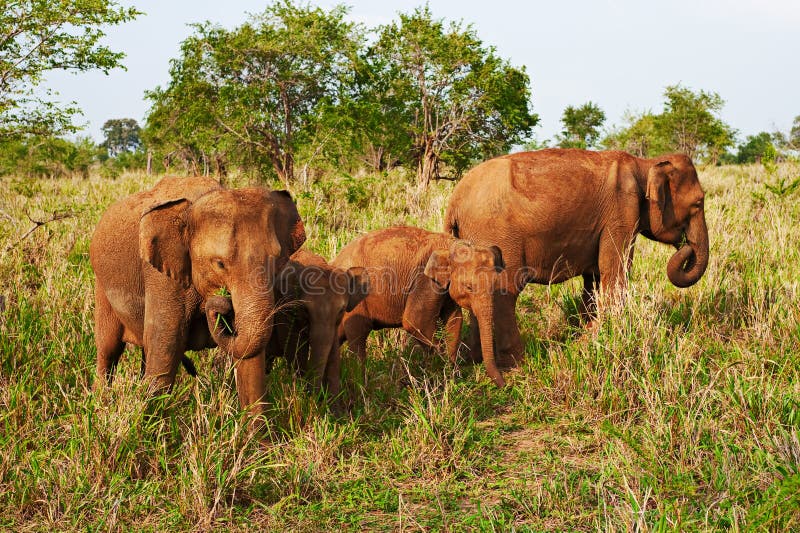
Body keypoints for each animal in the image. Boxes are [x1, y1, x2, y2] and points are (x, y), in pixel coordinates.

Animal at [90, 175, 306, 417]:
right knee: (108, 350)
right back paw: (99, 403)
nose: (222, 303)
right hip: (101, 285)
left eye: (277, 260)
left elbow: (250, 359)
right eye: (219, 264)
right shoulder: (163, 278)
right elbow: (166, 351)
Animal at [266, 249, 370, 399]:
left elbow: (333, 350)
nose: (316, 396)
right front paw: (305, 398)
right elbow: (295, 350)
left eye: (341, 310)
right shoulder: (284, 308)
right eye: (305, 309)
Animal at [331, 226, 508, 387]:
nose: (505, 385)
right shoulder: (424, 280)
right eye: (469, 287)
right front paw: (437, 372)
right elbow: (415, 322)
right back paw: (361, 382)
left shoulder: (444, 287)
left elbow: (454, 321)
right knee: (358, 337)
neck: (451, 245)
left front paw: (453, 375)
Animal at [444, 148, 709, 364]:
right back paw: (517, 364)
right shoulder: (622, 212)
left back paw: (475, 361)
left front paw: (587, 334)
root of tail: (454, 201)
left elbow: (594, 277)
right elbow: (615, 270)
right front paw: (594, 338)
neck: (646, 164)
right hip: (495, 235)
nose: (685, 245)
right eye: (698, 203)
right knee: (504, 291)